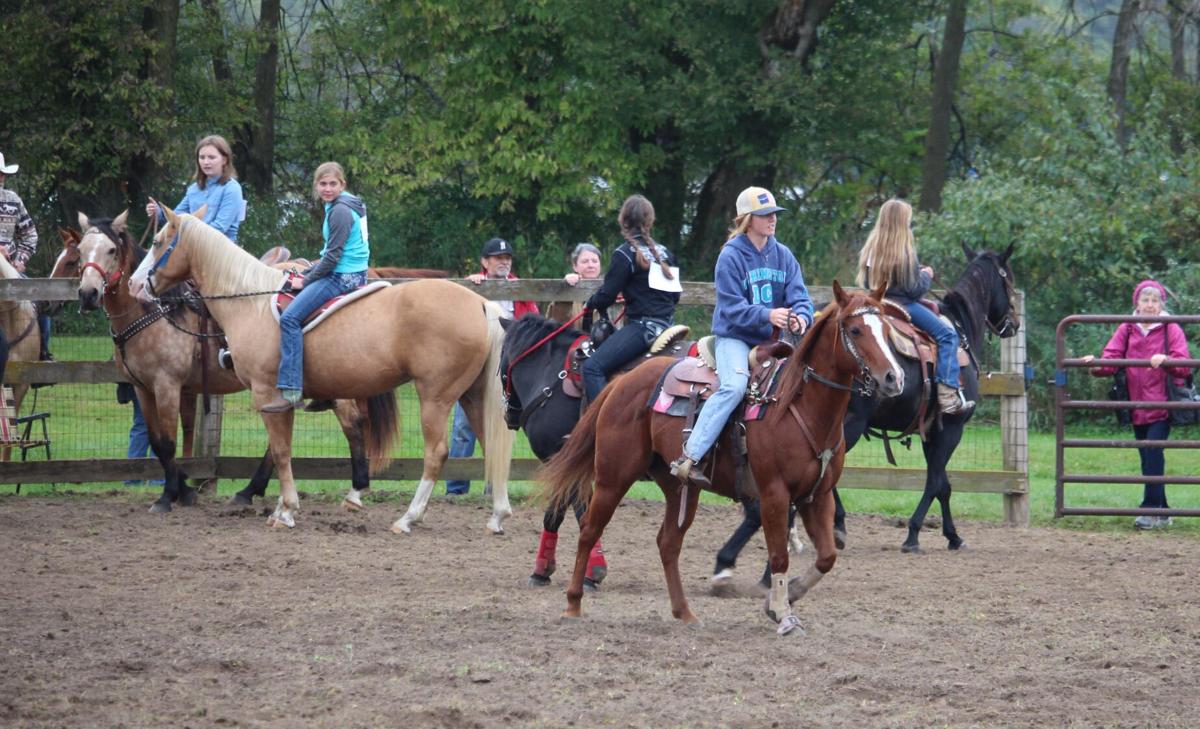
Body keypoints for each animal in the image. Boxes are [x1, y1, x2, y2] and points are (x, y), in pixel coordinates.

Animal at [54, 212, 387, 513]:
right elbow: (158, 442)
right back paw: (249, 491)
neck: (156, 312)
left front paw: (168, 496)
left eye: (111, 250)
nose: (88, 294)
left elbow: (168, 442)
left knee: (352, 423)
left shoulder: (167, 386)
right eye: (80, 251)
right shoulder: (143, 389)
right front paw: (184, 490)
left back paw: (354, 488)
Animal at [129, 204, 515, 532]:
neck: (252, 302)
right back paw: (497, 515)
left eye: (159, 242)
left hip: (435, 397)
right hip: (471, 395)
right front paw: (281, 507)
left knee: (436, 453)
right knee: (491, 445)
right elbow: (281, 450)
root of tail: (481, 304)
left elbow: (281, 451)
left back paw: (408, 517)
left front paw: (286, 510)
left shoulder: (267, 395)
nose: (134, 284)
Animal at [538, 283, 903, 635]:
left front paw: (789, 597)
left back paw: (685, 613)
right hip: (613, 476)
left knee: (668, 543)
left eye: (886, 329)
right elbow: (779, 556)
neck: (796, 406)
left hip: (679, 487)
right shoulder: (774, 494)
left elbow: (826, 557)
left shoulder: (817, 495)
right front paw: (783, 615)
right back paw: (573, 603)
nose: (894, 377)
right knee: (589, 530)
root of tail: (621, 382)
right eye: (855, 330)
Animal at [716, 242, 1019, 564]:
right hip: (850, 425)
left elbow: (944, 485)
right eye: (1008, 279)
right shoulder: (952, 428)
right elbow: (936, 483)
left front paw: (952, 535)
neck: (961, 330)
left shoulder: (932, 432)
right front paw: (915, 534)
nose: (1014, 322)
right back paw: (830, 525)